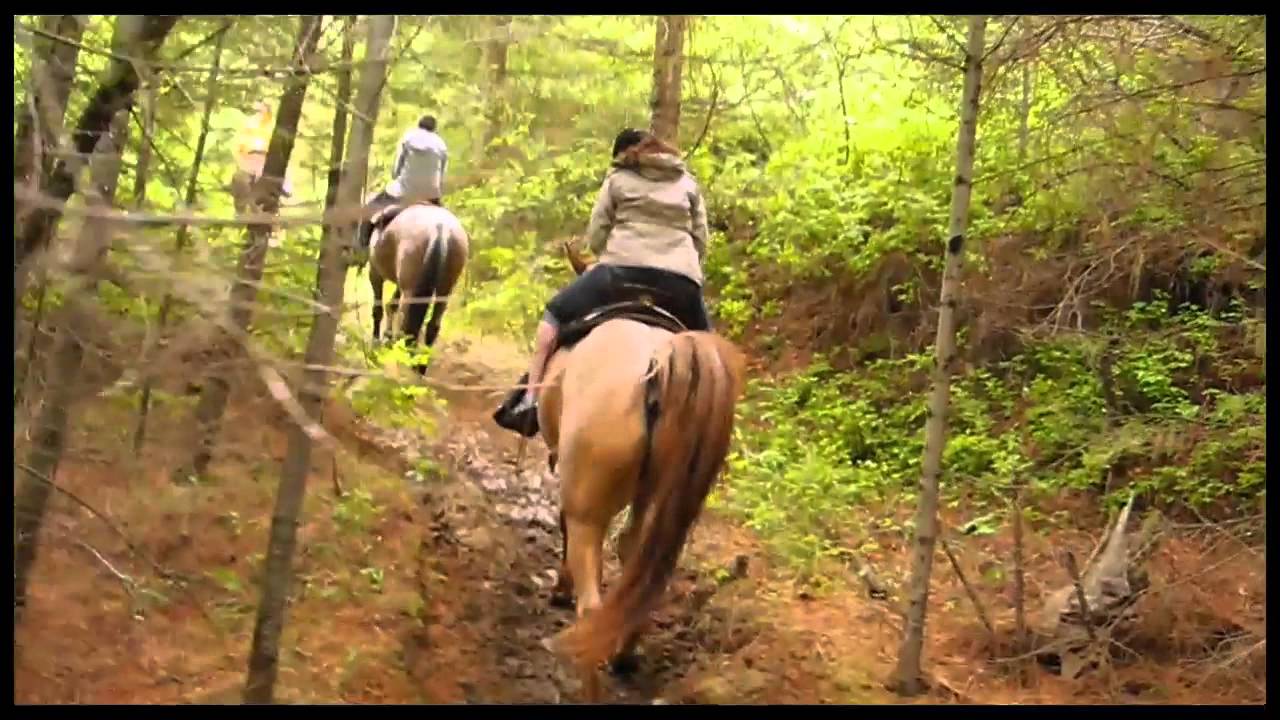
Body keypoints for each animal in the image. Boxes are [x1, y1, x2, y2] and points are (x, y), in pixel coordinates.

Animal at [366, 200, 470, 373]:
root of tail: (441, 230)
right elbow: (391, 305)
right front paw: (386, 337)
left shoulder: (375, 273)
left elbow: (378, 310)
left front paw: (376, 343)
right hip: (444, 291)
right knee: (432, 326)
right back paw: (421, 368)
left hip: (410, 292)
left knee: (406, 329)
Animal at [538, 242, 747, 701]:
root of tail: (661, 363)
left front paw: (559, 588)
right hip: (662, 497)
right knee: (640, 564)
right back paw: (624, 656)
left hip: (589, 505)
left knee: (592, 603)